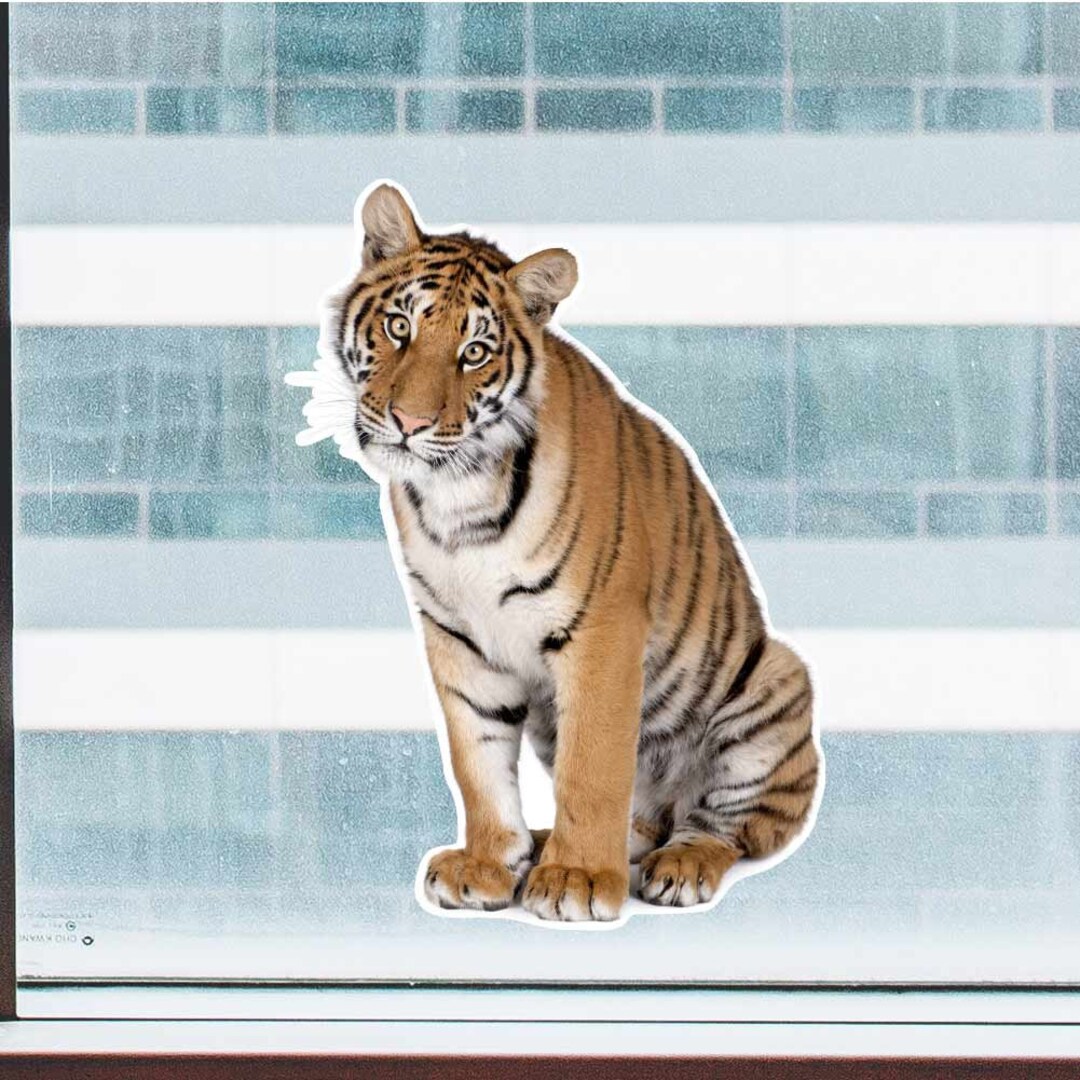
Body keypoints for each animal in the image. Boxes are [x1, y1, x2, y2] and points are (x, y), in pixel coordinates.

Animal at [324, 181, 821, 922]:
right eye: (399, 327)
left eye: (475, 353)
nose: (409, 423)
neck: (458, 497)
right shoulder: (457, 637)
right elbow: (478, 761)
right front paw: (488, 863)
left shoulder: (602, 630)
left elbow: (593, 769)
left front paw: (578, 878)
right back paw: (544, 843)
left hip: (772, 686)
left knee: (727, 827)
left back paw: (676, 866)